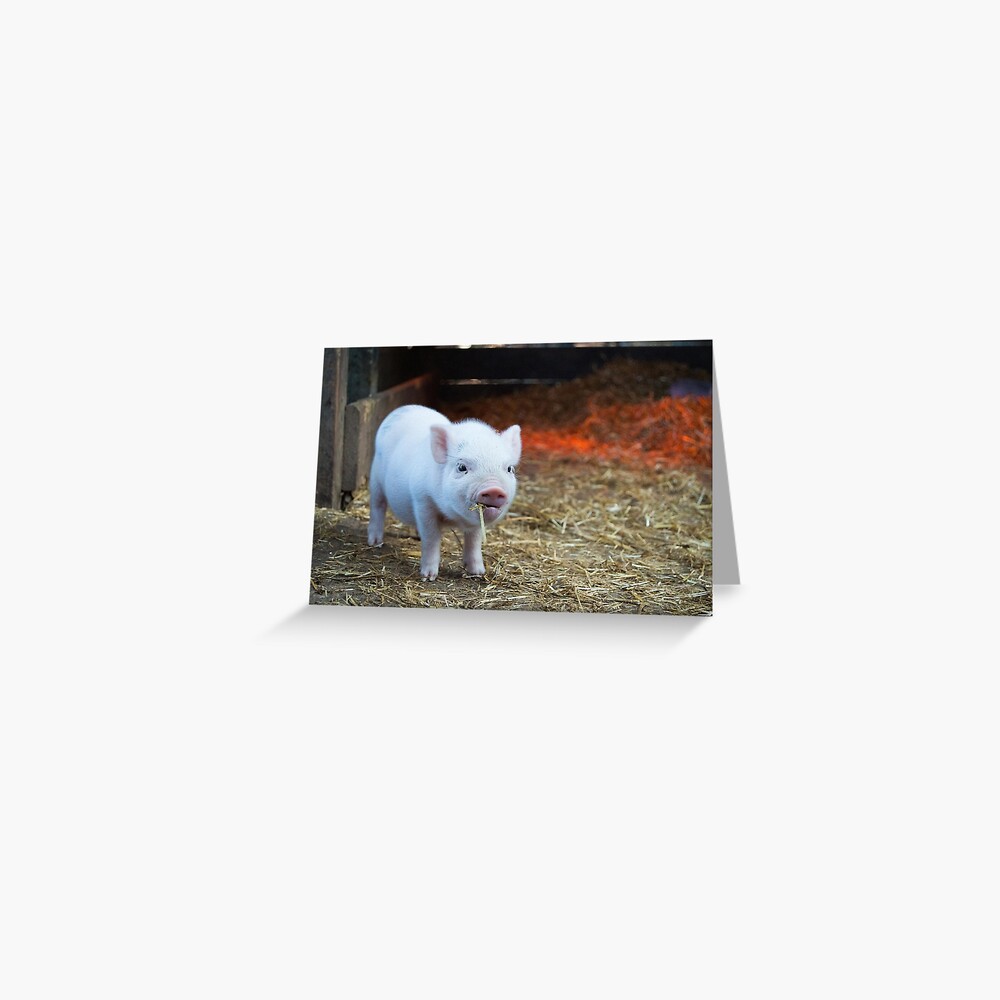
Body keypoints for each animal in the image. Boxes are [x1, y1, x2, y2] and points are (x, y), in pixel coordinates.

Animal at [367, 404, 521, 581]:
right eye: (461, 467)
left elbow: (474, 541)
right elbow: (431, 538)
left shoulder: (475, 524)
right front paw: (428, 577)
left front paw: (477, 573)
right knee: (377, 506)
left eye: (509, 468)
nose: (494, 489)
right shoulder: (422, 501)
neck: (454, 518)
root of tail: (403, 408)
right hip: (375, 478)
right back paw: (375, 542)